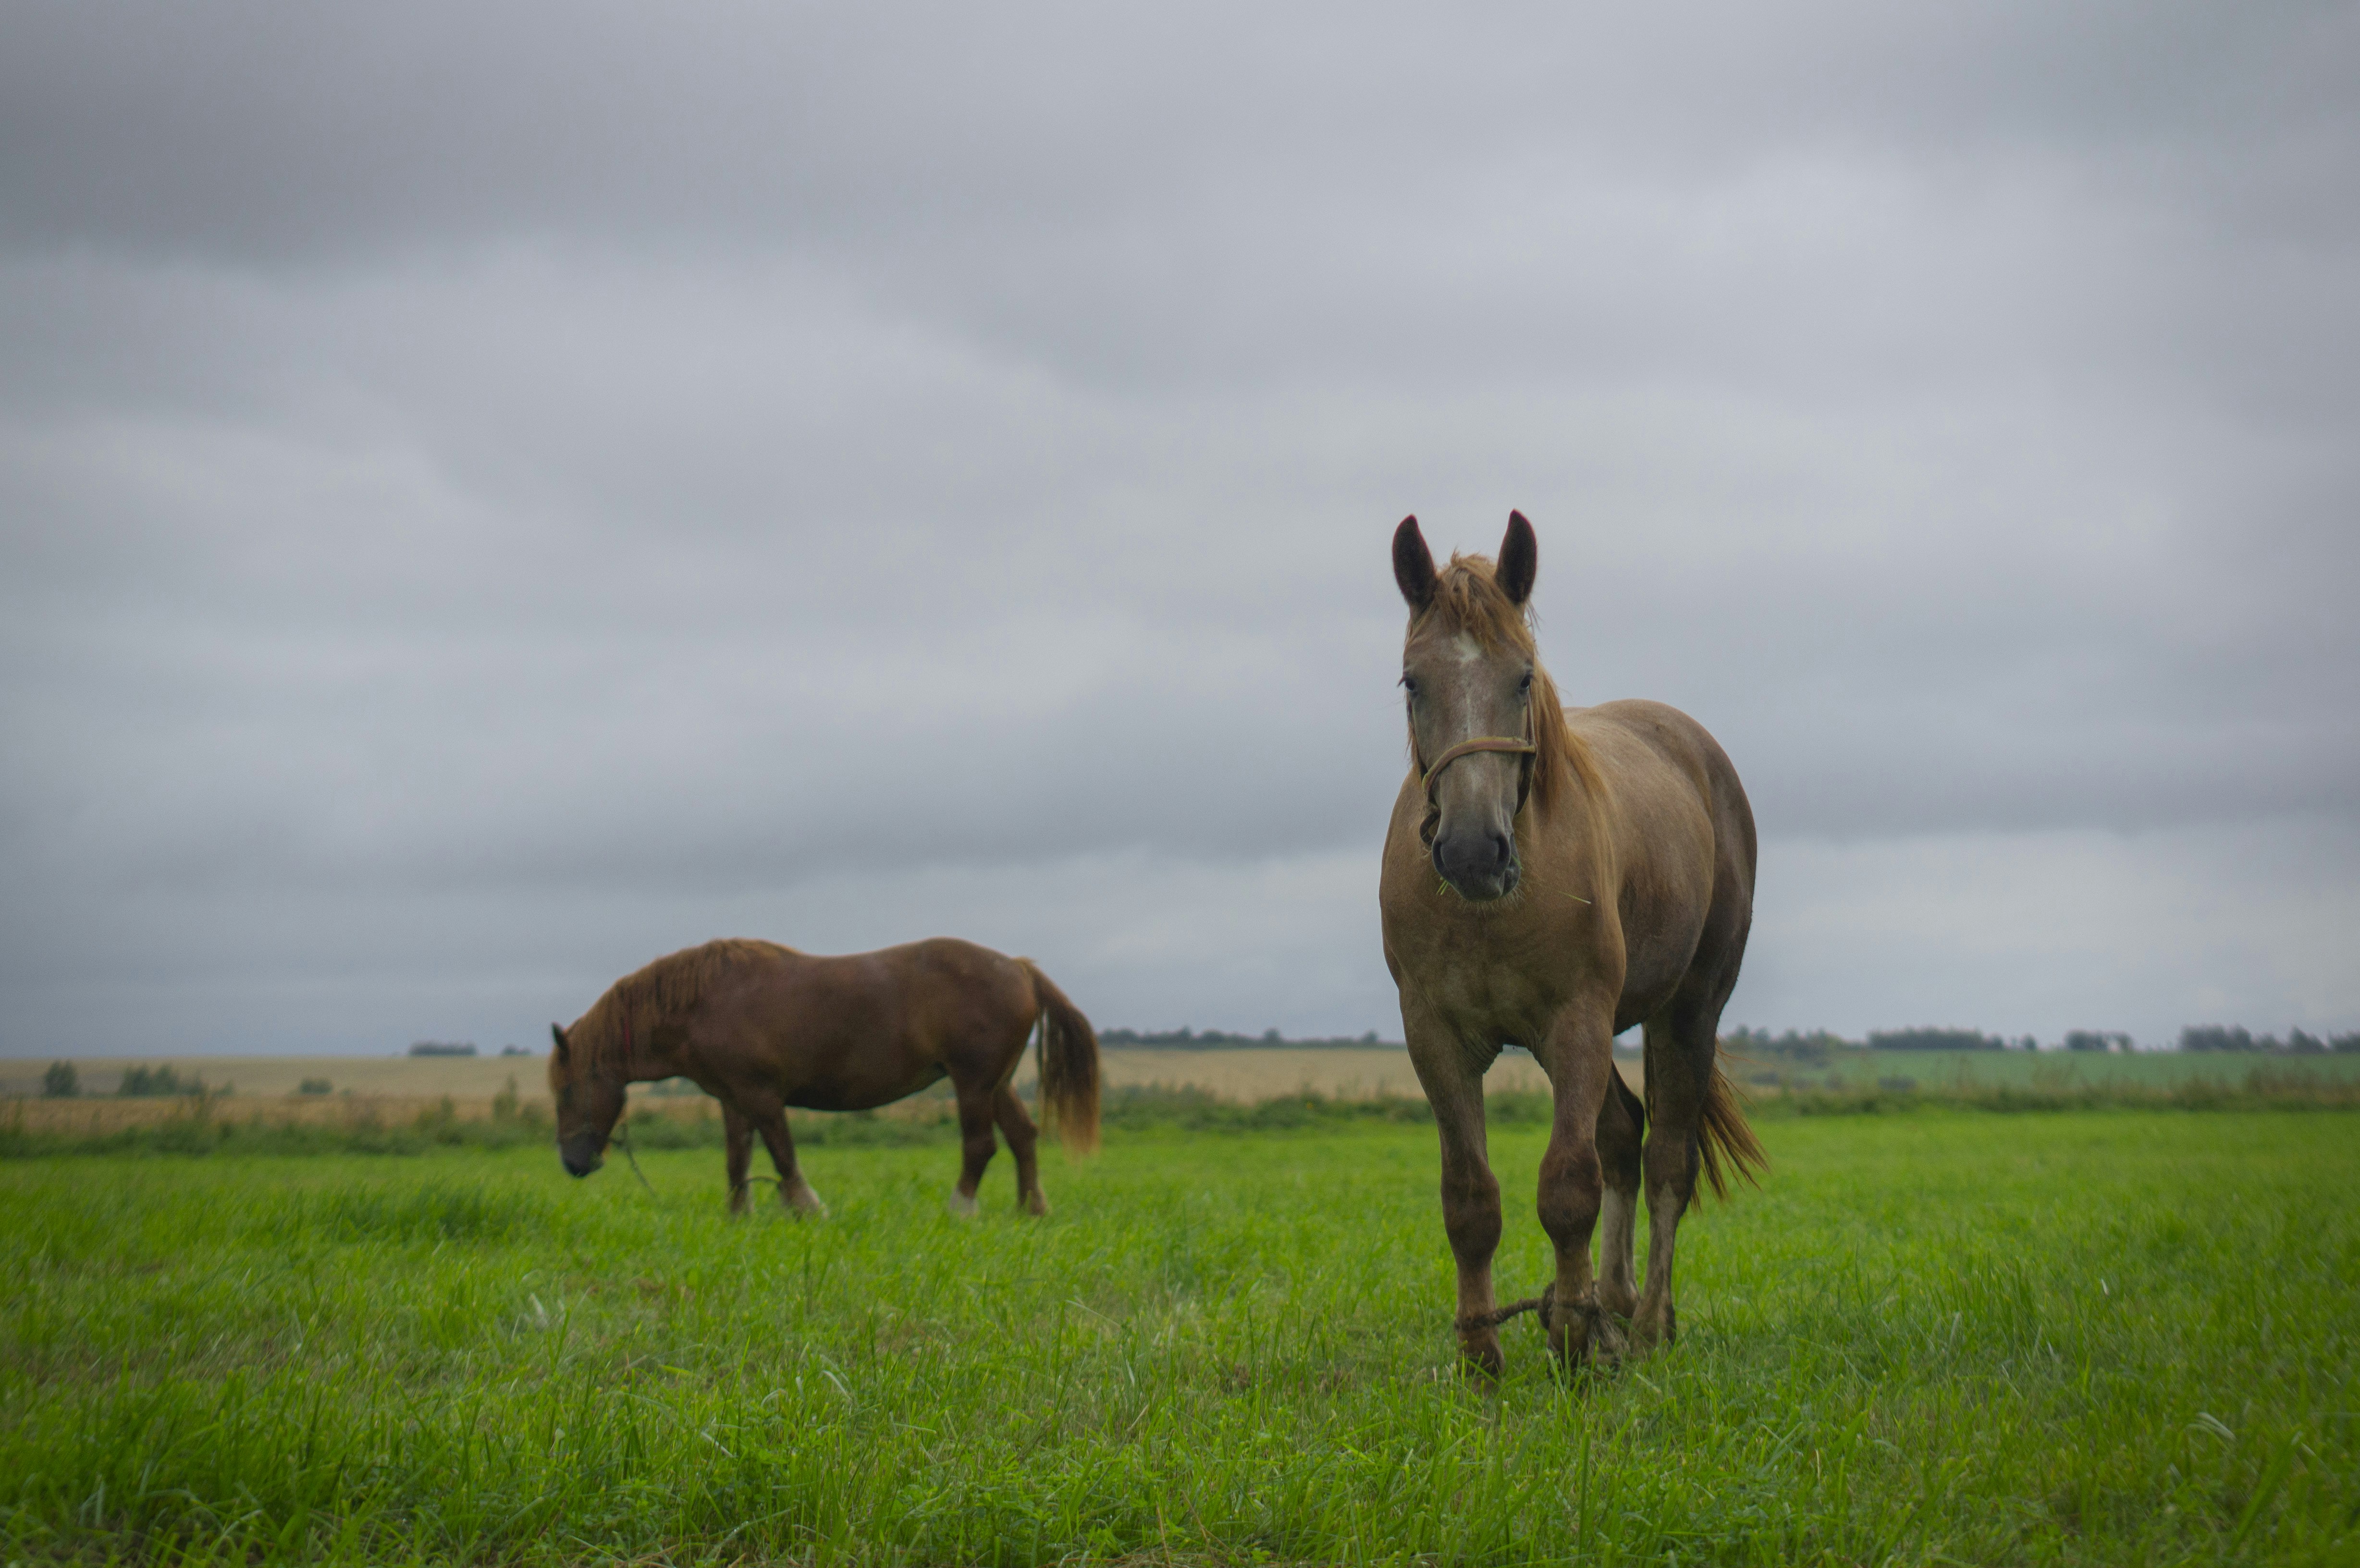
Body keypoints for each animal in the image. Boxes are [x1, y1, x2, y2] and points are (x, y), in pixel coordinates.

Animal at [548, 937, 1101, 1216]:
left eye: (568, 1090)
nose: (573, 1164)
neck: (705, 1002)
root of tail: (1020, 968)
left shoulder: (760, 1094)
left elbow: (782, 1153)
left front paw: (807, 1206)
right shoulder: (732, 1098)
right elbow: (737, 1158)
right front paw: (739, 1214)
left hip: (973, 1084)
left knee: (980, 1146)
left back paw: (960, 1208)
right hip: (997, 1083)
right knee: (1023, 1137)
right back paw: (1031, 1209)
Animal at [1379, 511, 1765, 1377]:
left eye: (1523, 678)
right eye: (1413, 682)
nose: (1472, 852)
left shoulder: (1577, 1021)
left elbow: (1567, 1186)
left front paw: (1568, 1342)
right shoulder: (1435, 1036)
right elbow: (1470, 1199)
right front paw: (1482, 1357)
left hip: (1687, 1009)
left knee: (1666, 1160)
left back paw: (1646, 1323)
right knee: (1624, 1132)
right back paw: (1612, 1304)